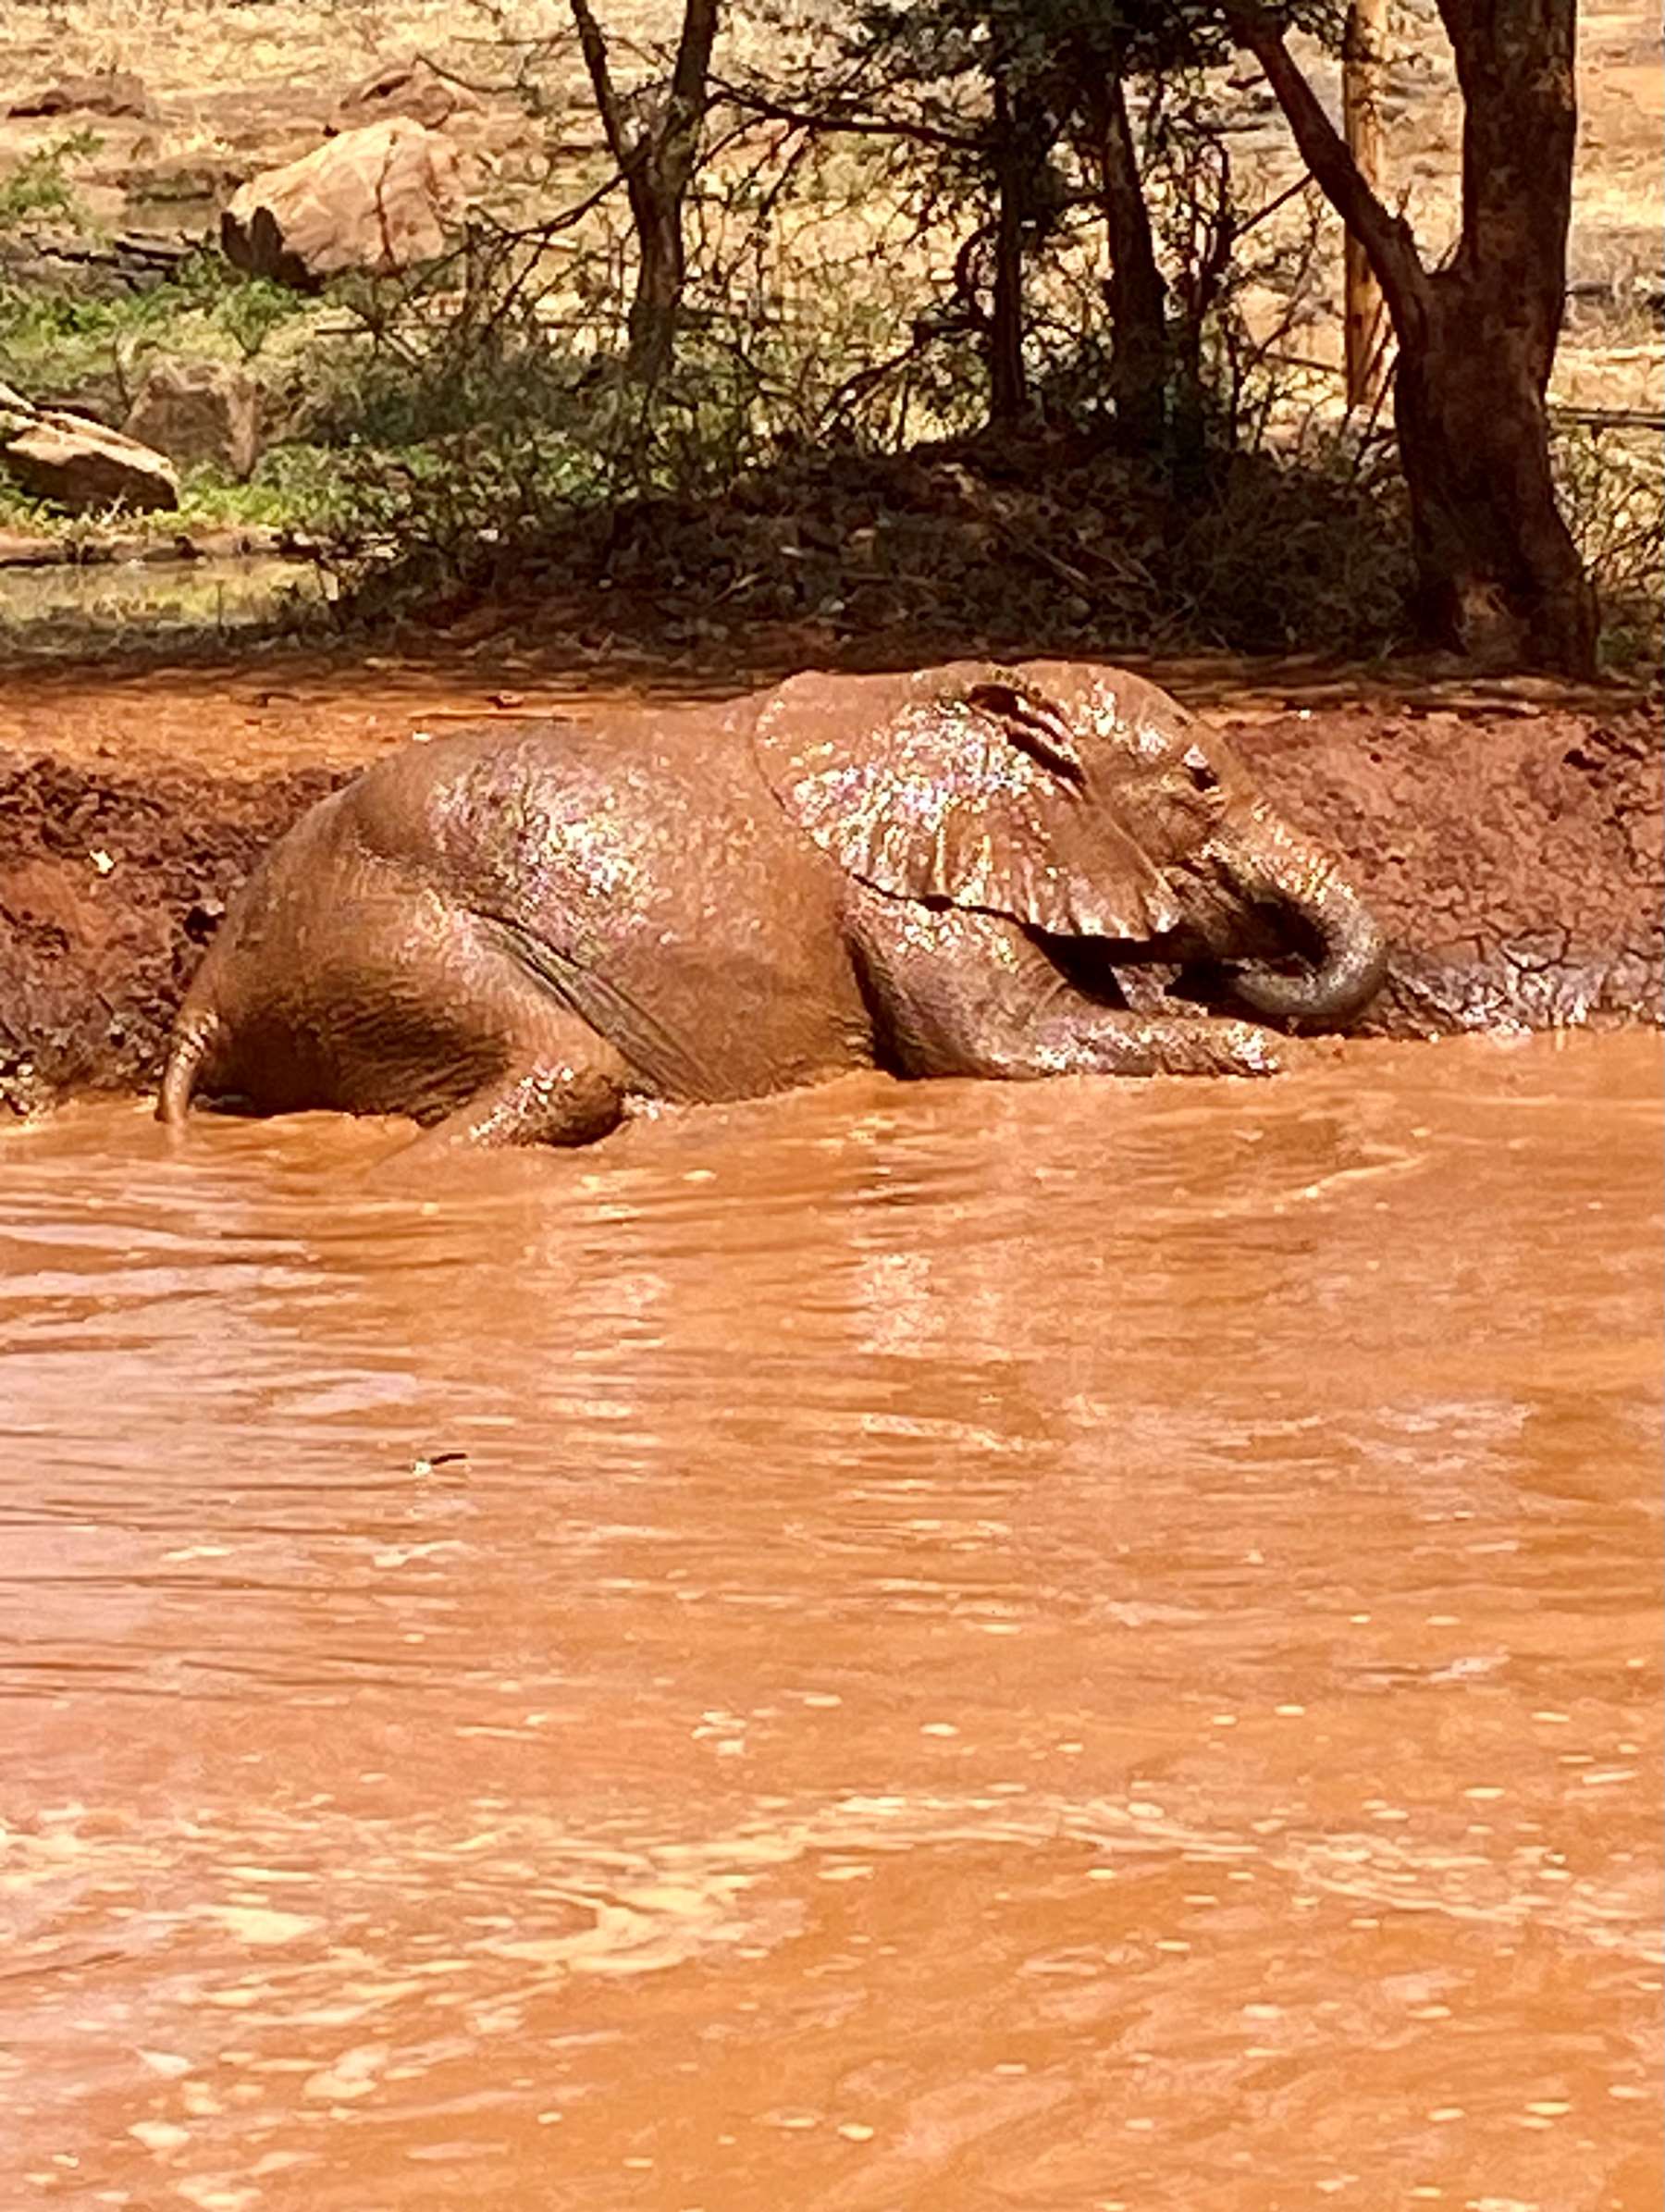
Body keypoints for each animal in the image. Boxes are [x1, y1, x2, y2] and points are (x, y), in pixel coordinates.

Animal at [158, 659, 1386, 1151]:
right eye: (1202, 781)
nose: (1221, 965)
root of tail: (208, 993)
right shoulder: (897, 892)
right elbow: (997, 1046)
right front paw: (1261, 1055)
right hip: (391, 944)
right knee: (566, 1068)